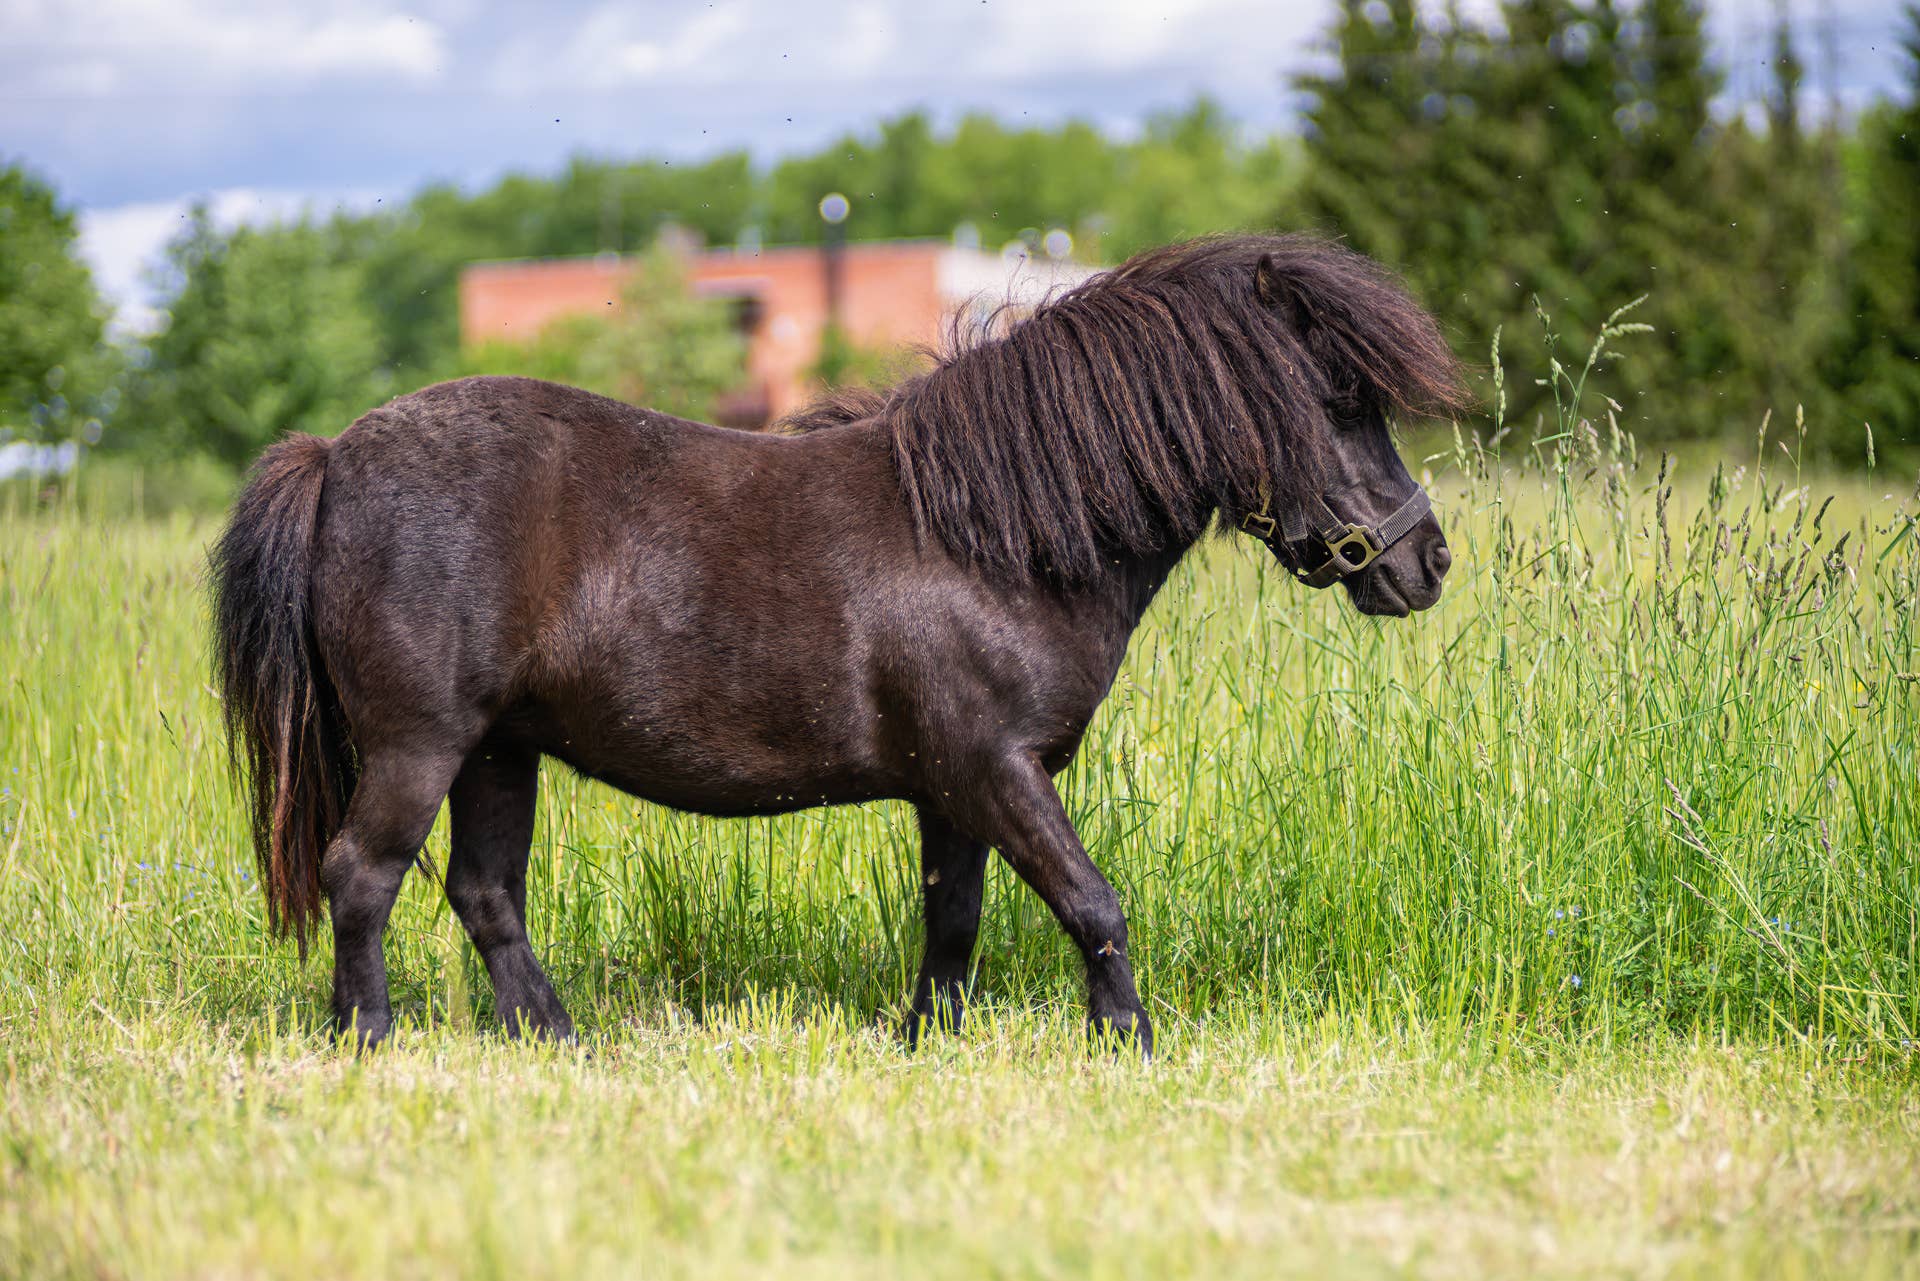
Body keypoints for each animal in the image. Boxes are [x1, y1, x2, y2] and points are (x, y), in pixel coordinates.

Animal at [211, 234, 1468, 1053]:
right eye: (1341, 398)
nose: (1425, 562)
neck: (996, 536)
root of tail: (335, 458)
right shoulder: (997, 771)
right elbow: (1092, 900)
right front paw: (1130, 1043)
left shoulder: (956, 791)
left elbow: (953, 922)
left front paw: (927, 1042)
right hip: (420, 745)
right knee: (362, 875)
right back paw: (366, 1040)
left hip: (495, 751)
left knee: (485, 894)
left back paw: (555, 1042)